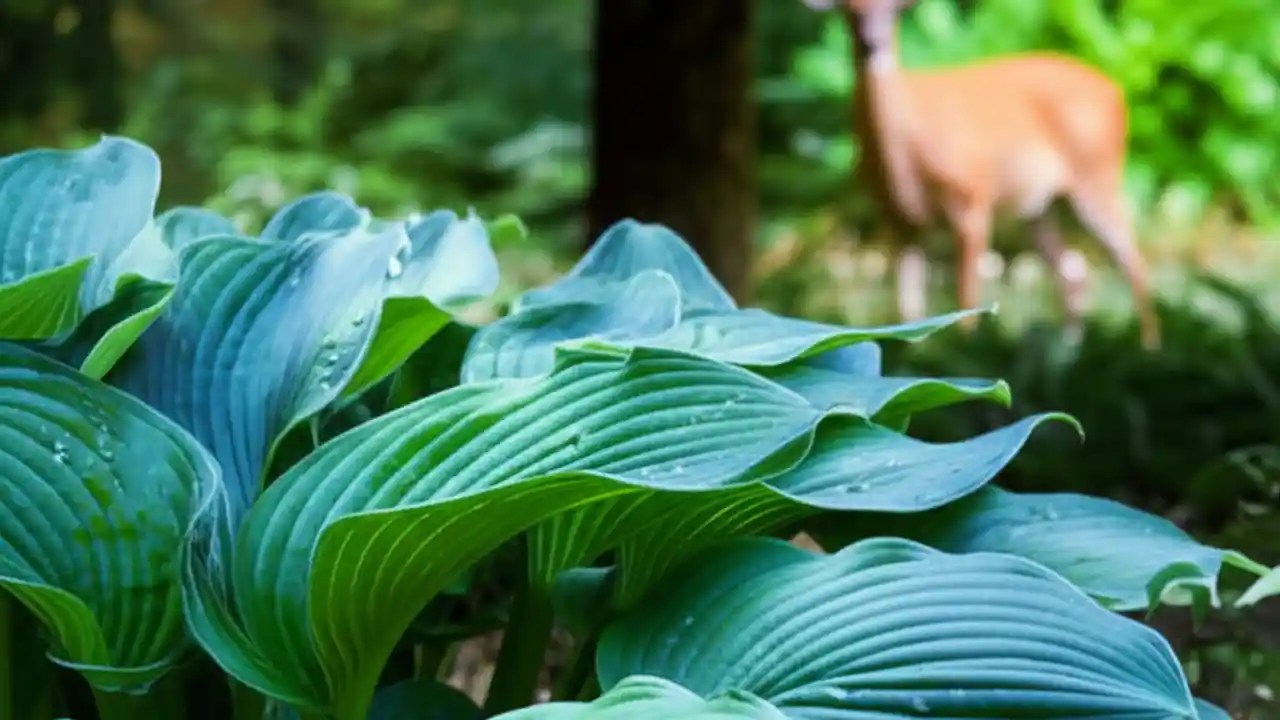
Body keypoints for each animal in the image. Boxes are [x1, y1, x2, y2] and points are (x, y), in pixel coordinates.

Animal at [804, 0, 1161, 349]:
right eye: (849, 13)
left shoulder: (969, 195)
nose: (871, 45)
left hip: (1097, 174)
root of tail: (1116, 92)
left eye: (892, 11)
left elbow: (966, 298)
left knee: (1134, 262)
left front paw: (967, 346)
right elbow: (908, 308)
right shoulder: (897, 217)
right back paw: (1070, 346)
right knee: (1074, 269)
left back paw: (1148, 346)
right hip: (1040, 206)